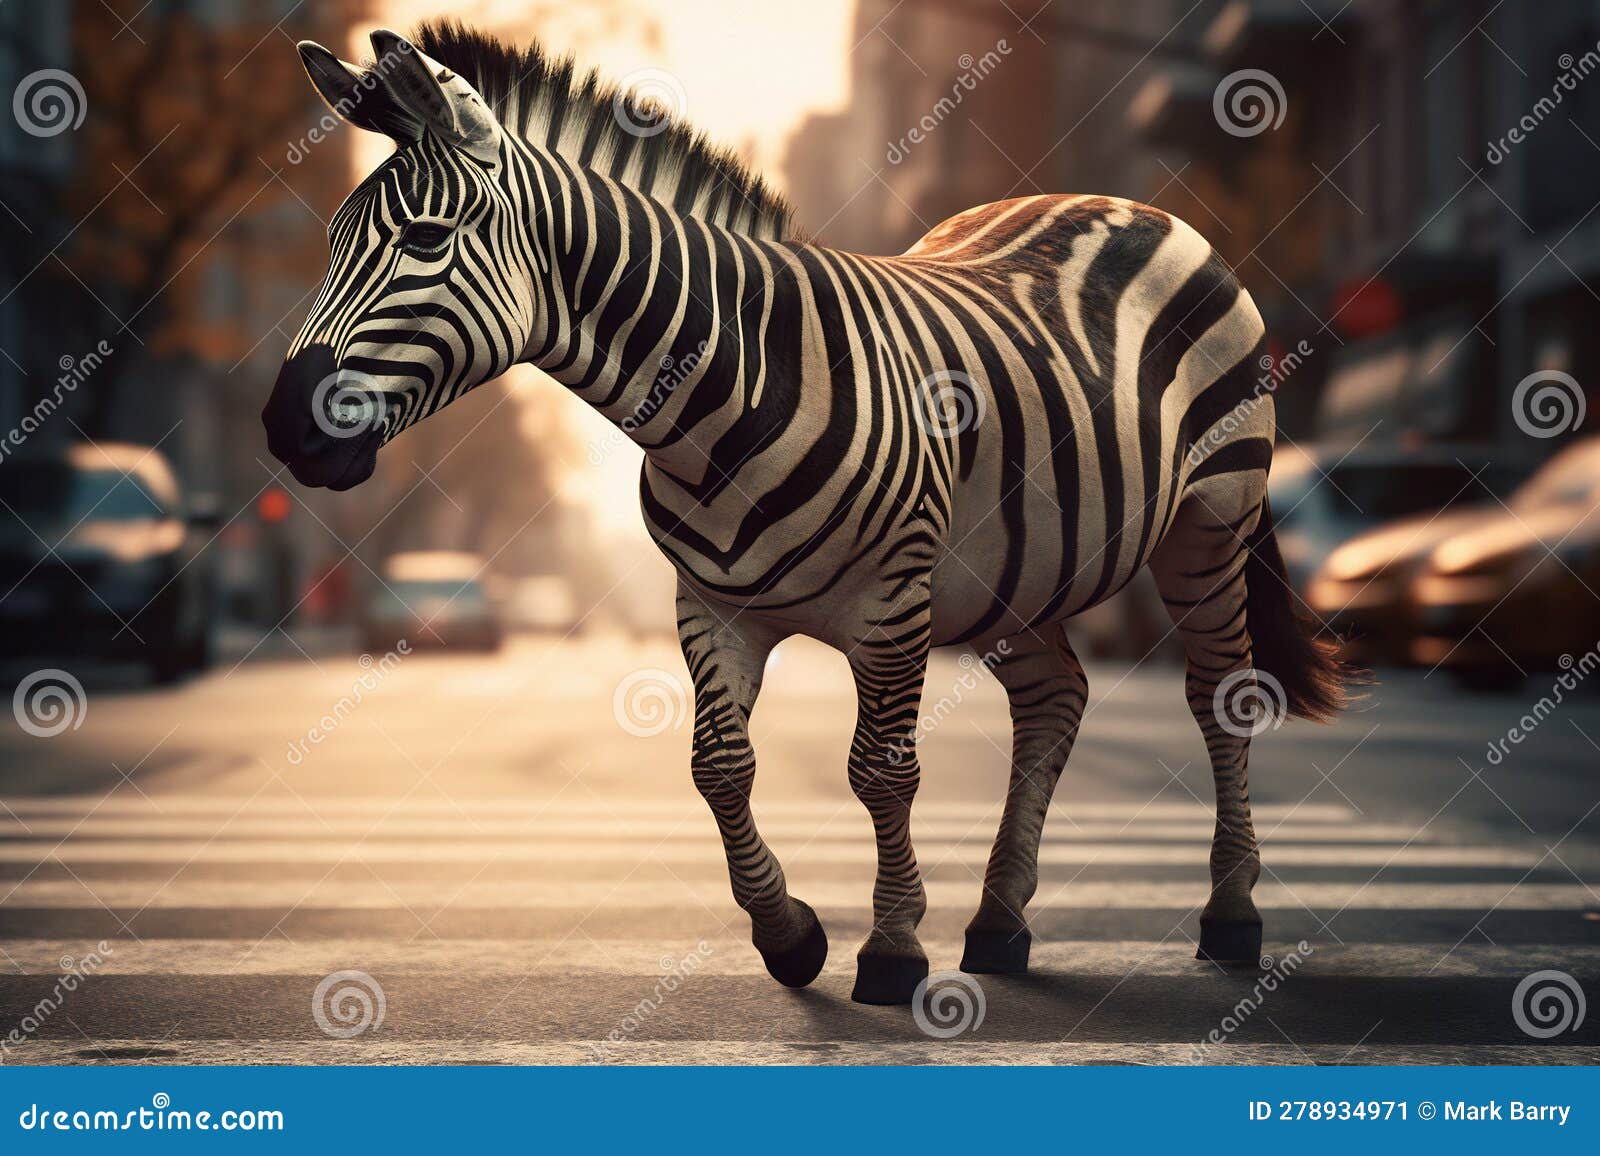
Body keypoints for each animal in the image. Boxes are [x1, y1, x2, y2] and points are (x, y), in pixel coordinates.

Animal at [263, 22, 1354, 1005]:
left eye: (424, 239)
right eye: (331, 243)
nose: (284, 427)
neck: (720, 402)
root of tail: (1127, 206)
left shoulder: (894, 601)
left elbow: (880, 771)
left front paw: (892, 949)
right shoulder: (712, 606)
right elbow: (718, 767)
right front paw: (790, 937)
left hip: (1208, 525)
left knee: (1220, 698)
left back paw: (1230, 919)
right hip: (1022, 570)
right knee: (1055, 697)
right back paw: (1000, 923)